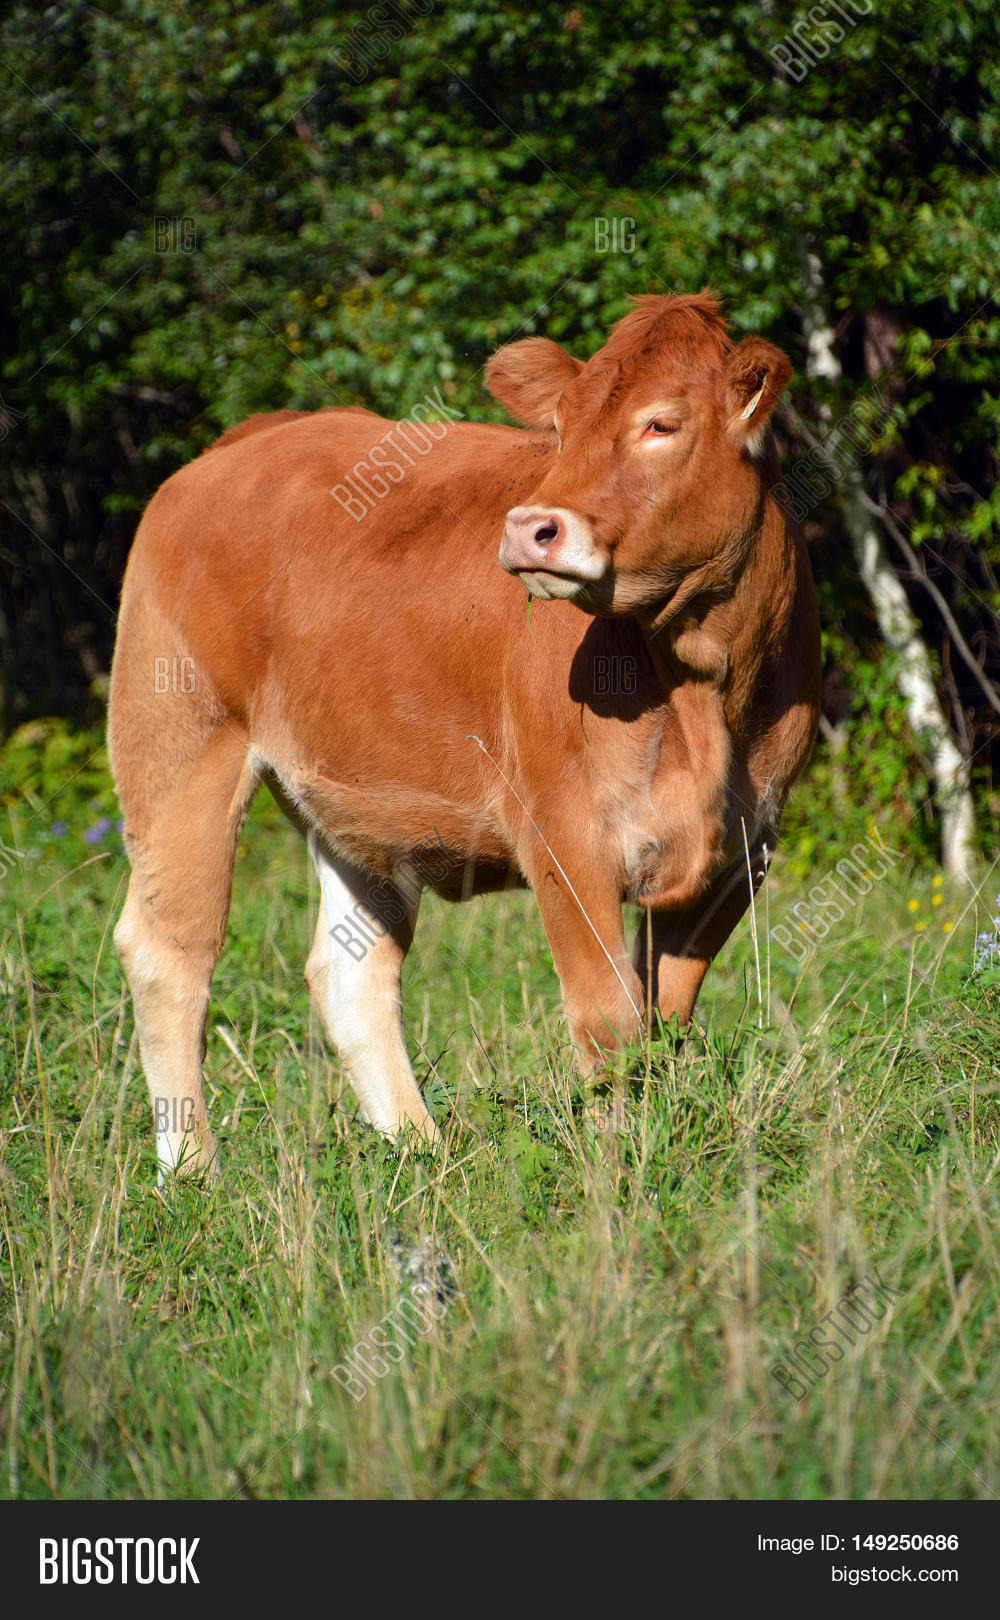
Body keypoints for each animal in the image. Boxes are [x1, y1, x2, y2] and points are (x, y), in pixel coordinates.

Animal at [108, 290, 820, 1178]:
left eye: (663, 423)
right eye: (560, 428)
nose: (531, 528)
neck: (703, 692)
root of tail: (250, 437)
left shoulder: (746, 849)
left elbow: (666, 1017)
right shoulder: (563, 834)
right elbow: (610, 1019)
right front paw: (617, 1167)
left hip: (356, 802)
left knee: (350, 974)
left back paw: (418, 1151)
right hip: (177, 747)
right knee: (171, 952)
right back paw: (192, 1169)